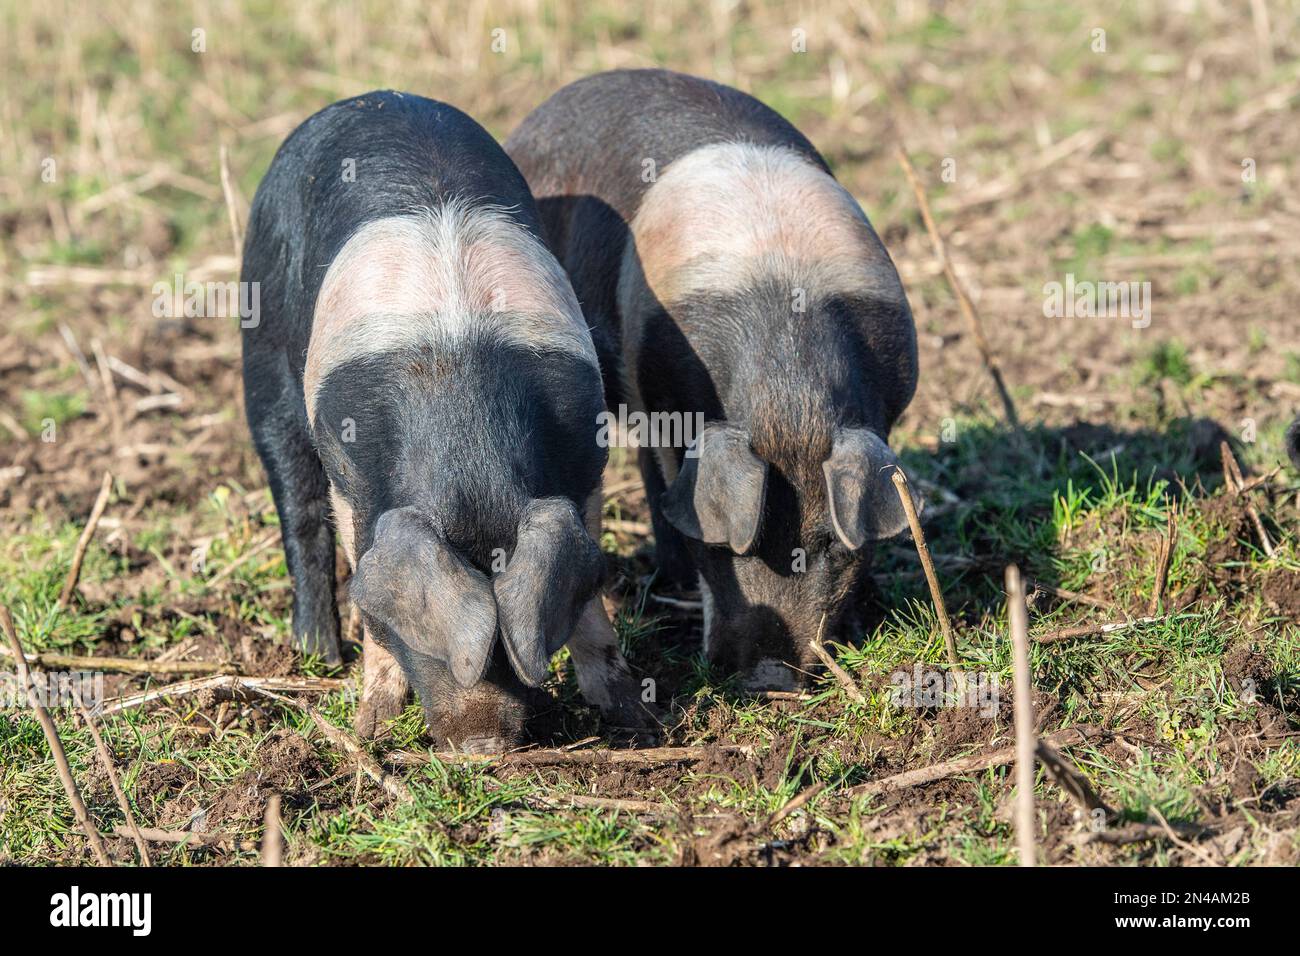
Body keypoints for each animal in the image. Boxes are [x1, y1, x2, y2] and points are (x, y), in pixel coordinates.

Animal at [241, 91, 652, 750]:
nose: (482, 747)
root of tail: (375, 96)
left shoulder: (585, 458)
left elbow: (588, 595)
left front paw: (635, 718)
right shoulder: (353, 474)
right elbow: (363, 577)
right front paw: (370, 727)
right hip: (260, 347)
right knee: (297, 506)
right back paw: (316, 655)